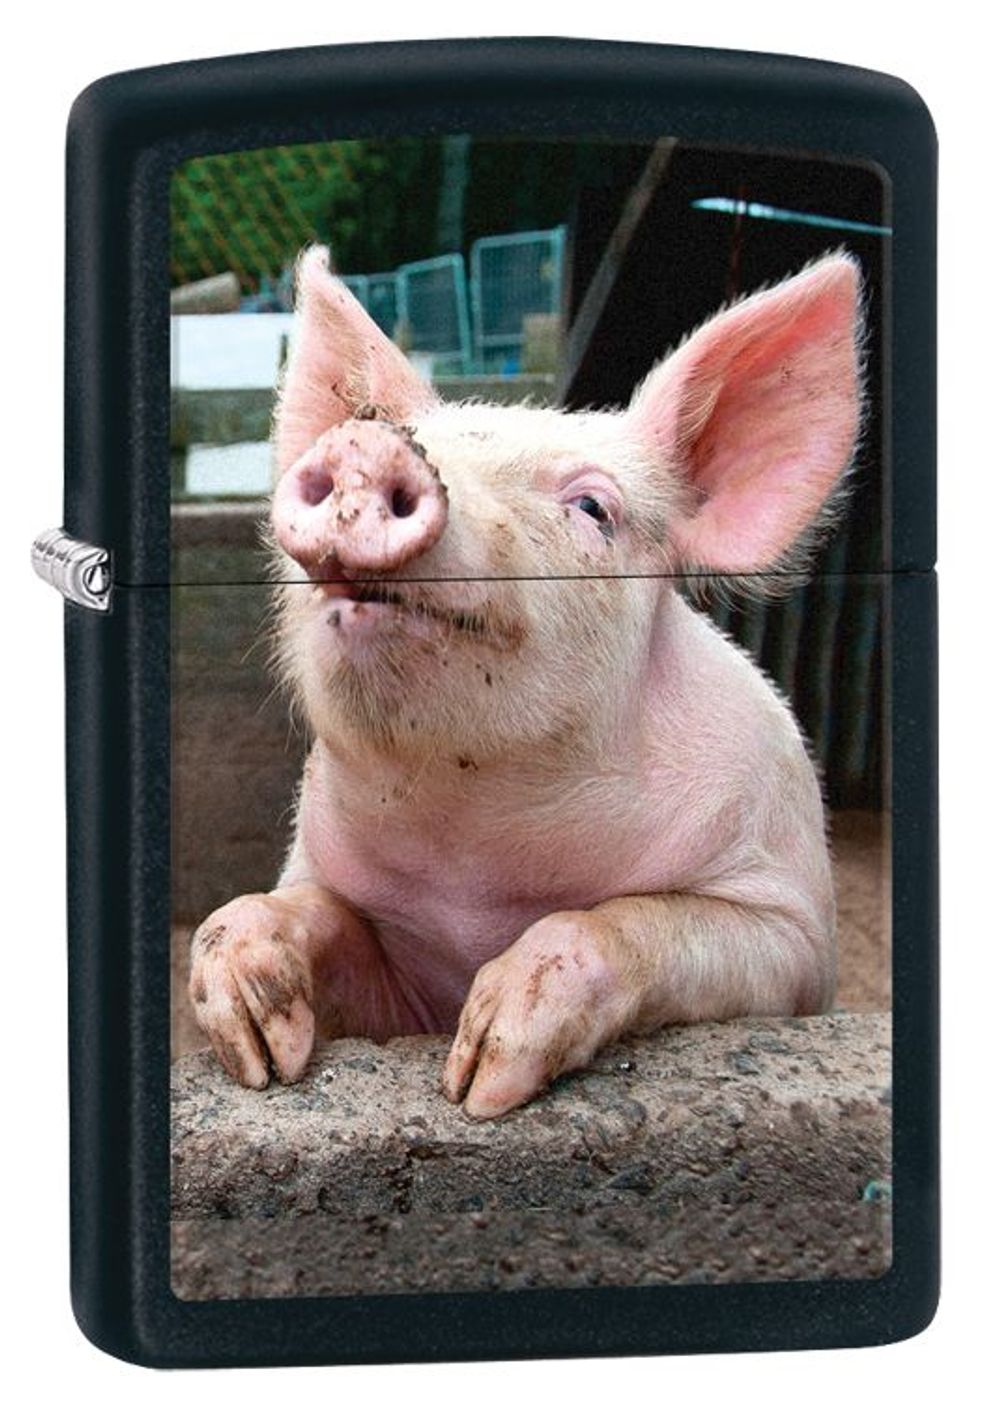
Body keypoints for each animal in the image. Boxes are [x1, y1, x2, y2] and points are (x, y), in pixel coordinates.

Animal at [189, 245, 863, 1119]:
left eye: (593, 507)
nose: (368, 448)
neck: (481, 863)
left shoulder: (792, 929)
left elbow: (637, 920)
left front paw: (480, 1081)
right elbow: (300, 915)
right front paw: (258, 1053)